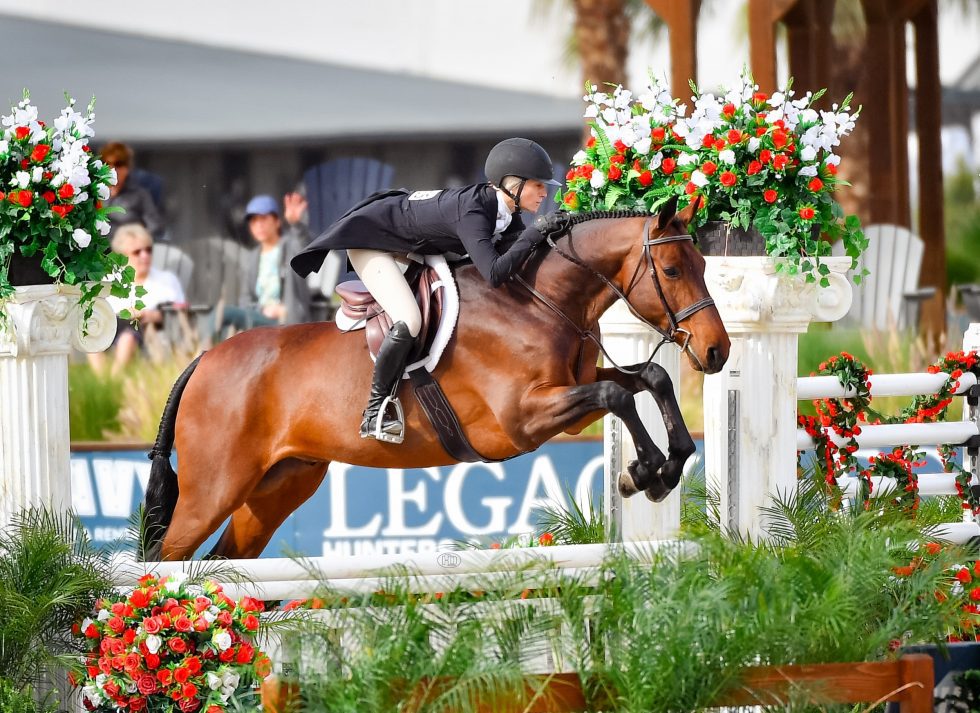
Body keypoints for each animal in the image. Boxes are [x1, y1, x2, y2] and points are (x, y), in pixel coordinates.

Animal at [141, 198, 730, 560]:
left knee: (223, 563)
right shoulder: (523, 418)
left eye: (704, 265)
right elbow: (616, 394)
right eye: (672, 271)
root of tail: (203, 360)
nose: (716, 350)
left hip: (274, 489)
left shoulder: (564, 401)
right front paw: (644, 472)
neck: (540, 301)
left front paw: (669, 465)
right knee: (165, 559)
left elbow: (651, 377)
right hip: (213, 490)